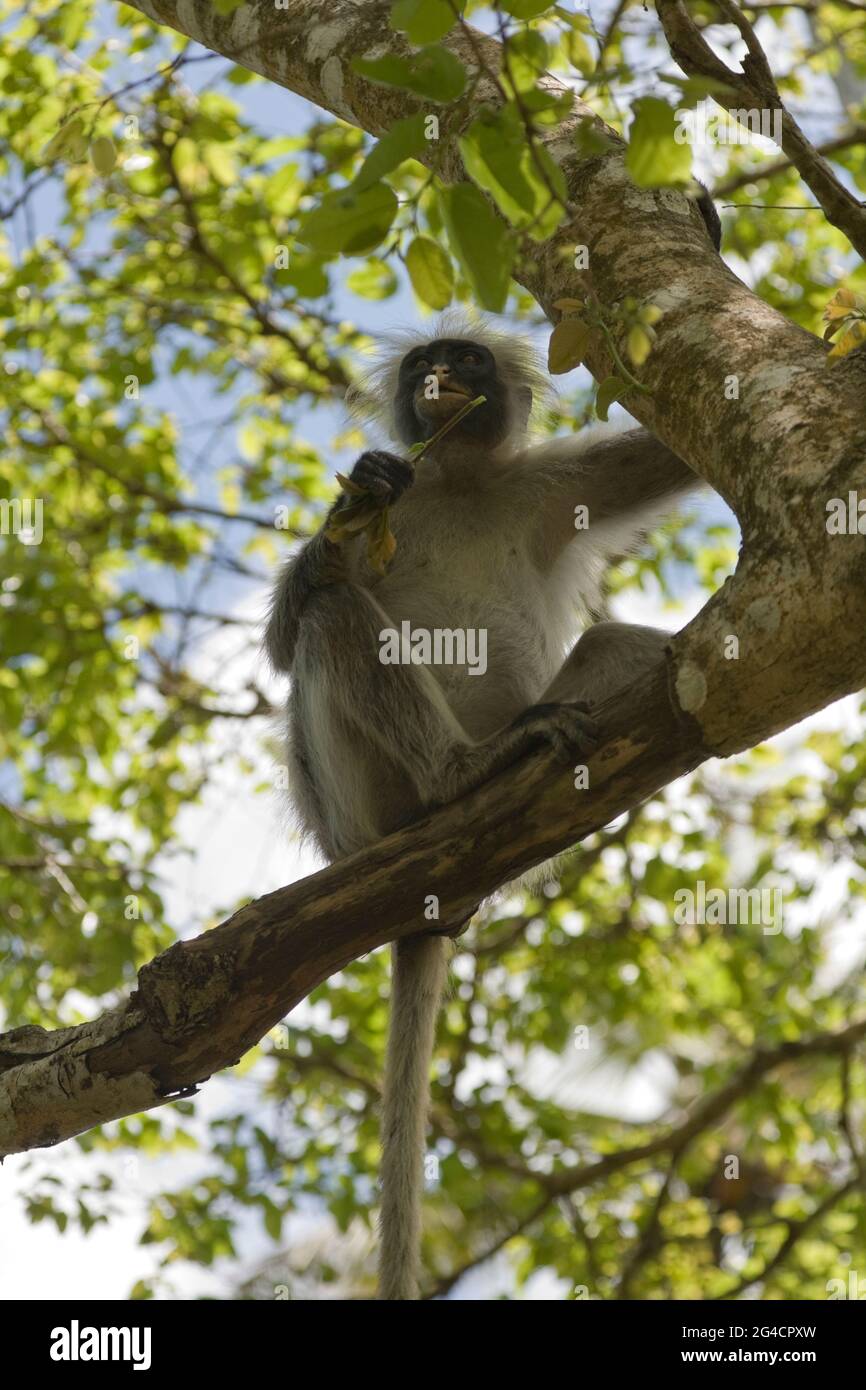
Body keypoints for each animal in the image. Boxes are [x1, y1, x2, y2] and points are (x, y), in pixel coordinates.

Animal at [264, 313, 709, 1300]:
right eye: (424, 365)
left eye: (465, 360)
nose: (441, 377)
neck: (461, 479)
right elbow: (285, 634)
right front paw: (341, 524)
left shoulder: (552, 482)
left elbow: (672, 449)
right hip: (351, 805)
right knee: (330, 616)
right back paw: (459, 773)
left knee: (621, 647)